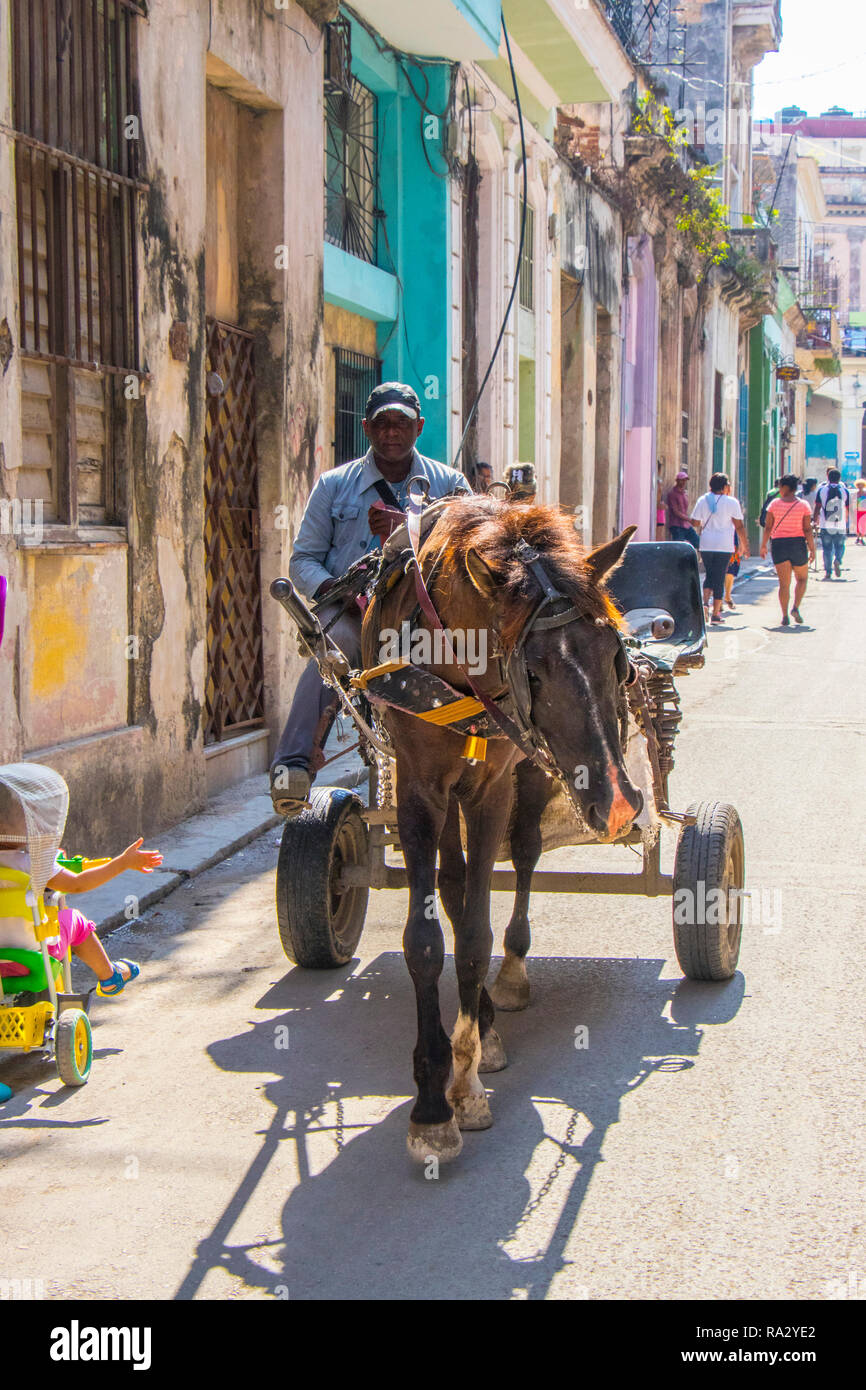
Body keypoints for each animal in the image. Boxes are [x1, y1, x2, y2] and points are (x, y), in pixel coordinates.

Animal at [362, 496, 643, 1163]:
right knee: (455, 880)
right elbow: (426, 938)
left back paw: (508, 981)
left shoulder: (491, 788)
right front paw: (432, 1103)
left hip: (531, 770)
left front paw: (463, 1084)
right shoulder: (419, 790)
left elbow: (475, 936)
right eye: (532, 673)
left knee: (524, 856)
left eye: (616, 657)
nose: (621, 805)